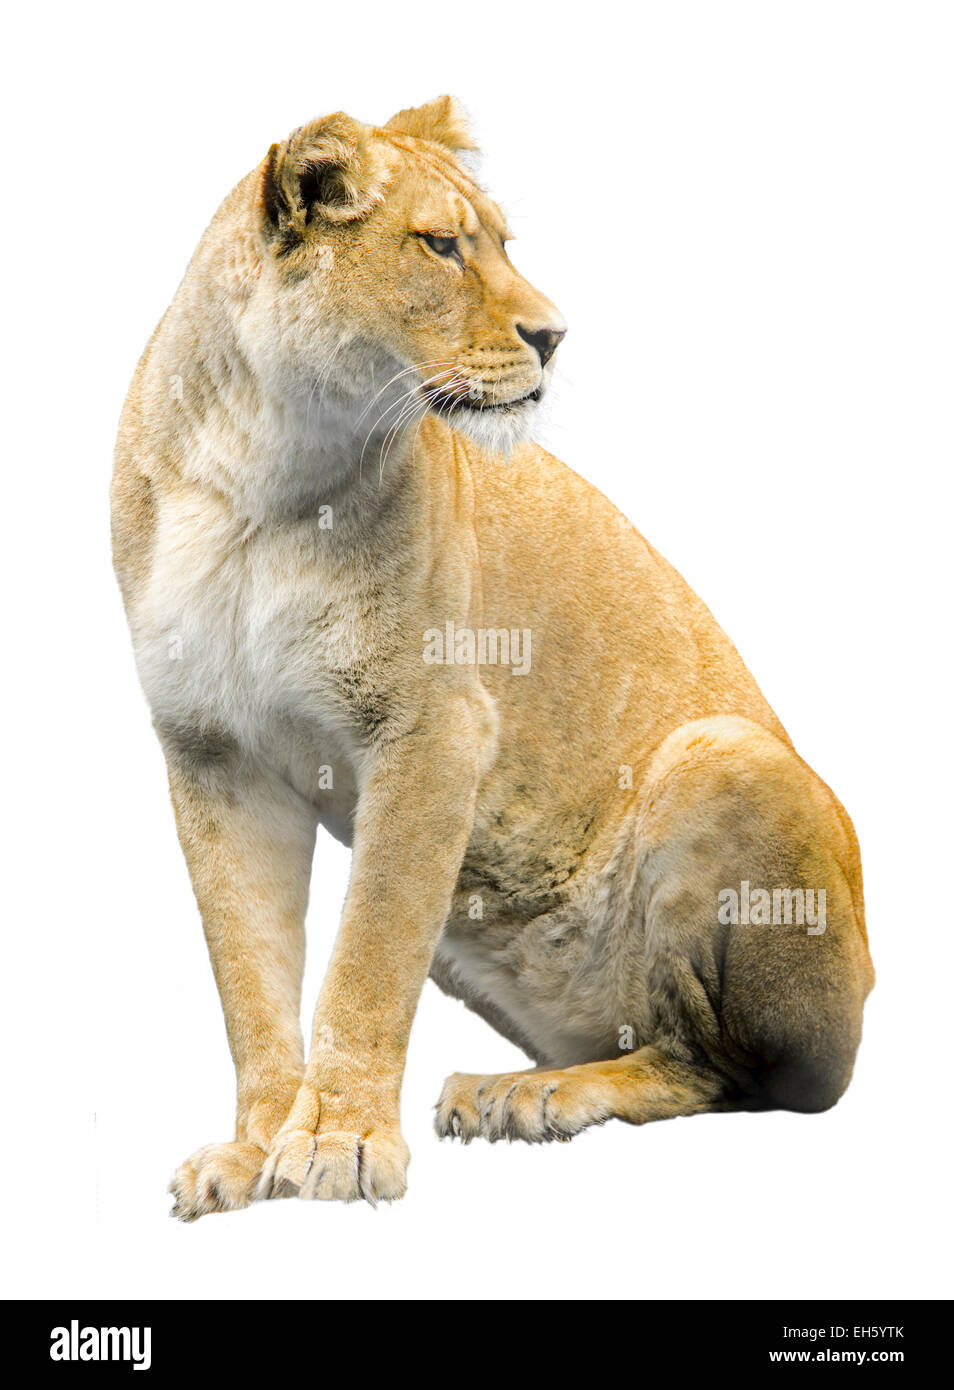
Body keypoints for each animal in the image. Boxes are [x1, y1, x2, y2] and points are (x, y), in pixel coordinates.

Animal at [111, 96, 874, 1219]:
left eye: (505, 244)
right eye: (439, 245)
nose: (555, 335)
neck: (262, 470)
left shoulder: (433, 728)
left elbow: (369, 957)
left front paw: (336, 1143)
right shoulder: (211, 752)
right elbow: (249, 973)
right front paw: (255, 1152)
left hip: (722, 755)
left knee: (735, 1072)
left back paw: (541, 1096)